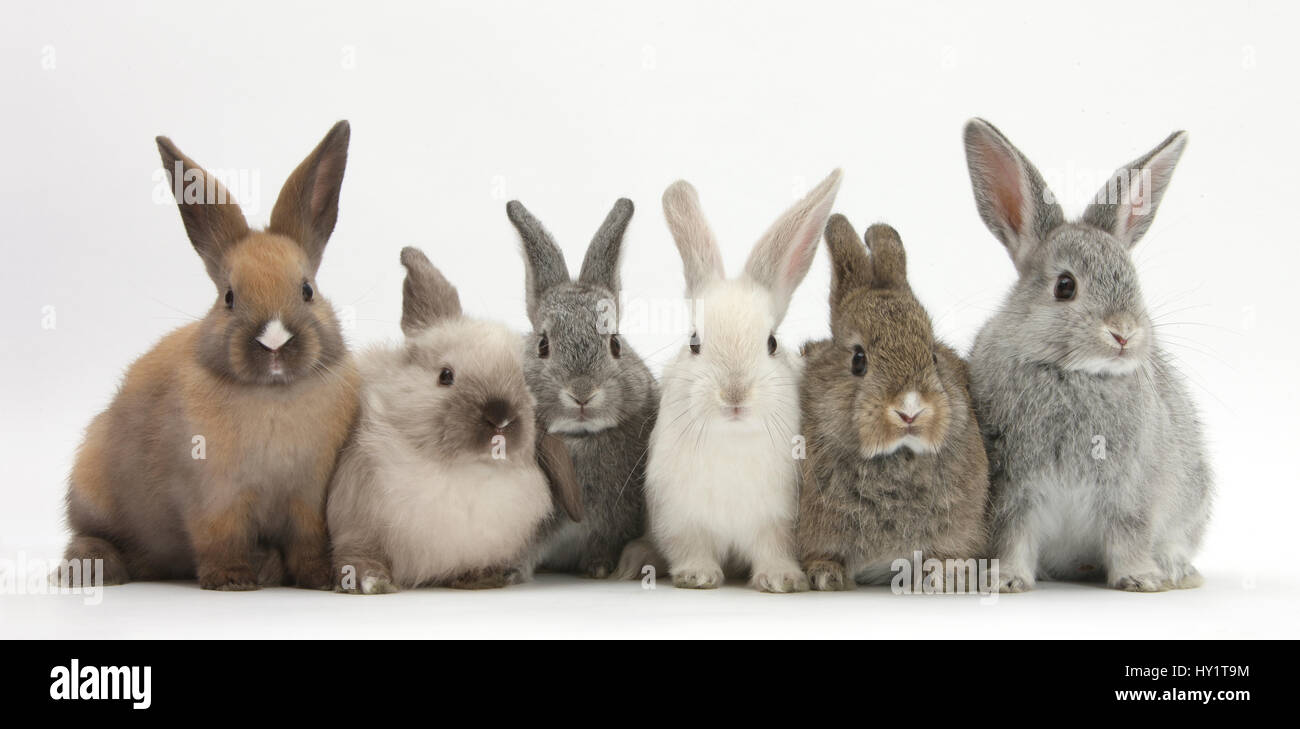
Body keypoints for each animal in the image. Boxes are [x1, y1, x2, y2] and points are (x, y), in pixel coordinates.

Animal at [60, 121, 358, 590]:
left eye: (307, 290)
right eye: (229, 297)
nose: (274, 341)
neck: (273, 395)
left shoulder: (308, 498)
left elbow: (308, 542)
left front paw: (321, 577)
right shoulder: (212, 496)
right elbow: (218, 538)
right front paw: (231, 580)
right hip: (91, 488)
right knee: (90, 533)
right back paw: (94, 568)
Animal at [327, 247, 584, 593]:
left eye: (527, 384)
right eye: (445, 376)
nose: (500, 417)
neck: (465, 472)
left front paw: (481, 577)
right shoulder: (355, 527)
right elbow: (358, 556)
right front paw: (371, 582)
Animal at [505, 198, 659, 579]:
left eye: (615, 343)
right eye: (543, 345)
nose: (582, 392)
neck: (580, 437)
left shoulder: (612, 522)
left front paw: (600, 568)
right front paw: (512, 571)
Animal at [646, 169, 842, 592]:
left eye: (771, 343)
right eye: (694, 342)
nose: (734, 394)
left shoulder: (778, 521)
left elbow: (773, 549)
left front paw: (782, 580)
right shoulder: (681, 518)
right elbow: (692, 547)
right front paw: (697, 575)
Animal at [962, 118, 1212, 592]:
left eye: (1133, 281)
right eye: (1065, 286)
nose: (1124, 333)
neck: (1074, 374)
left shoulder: (1130, 493)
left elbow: (1130, 534)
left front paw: (1140, 579)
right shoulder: (1013, 492)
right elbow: (1012, 537)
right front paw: (1007, 581)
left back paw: (1176, 570)